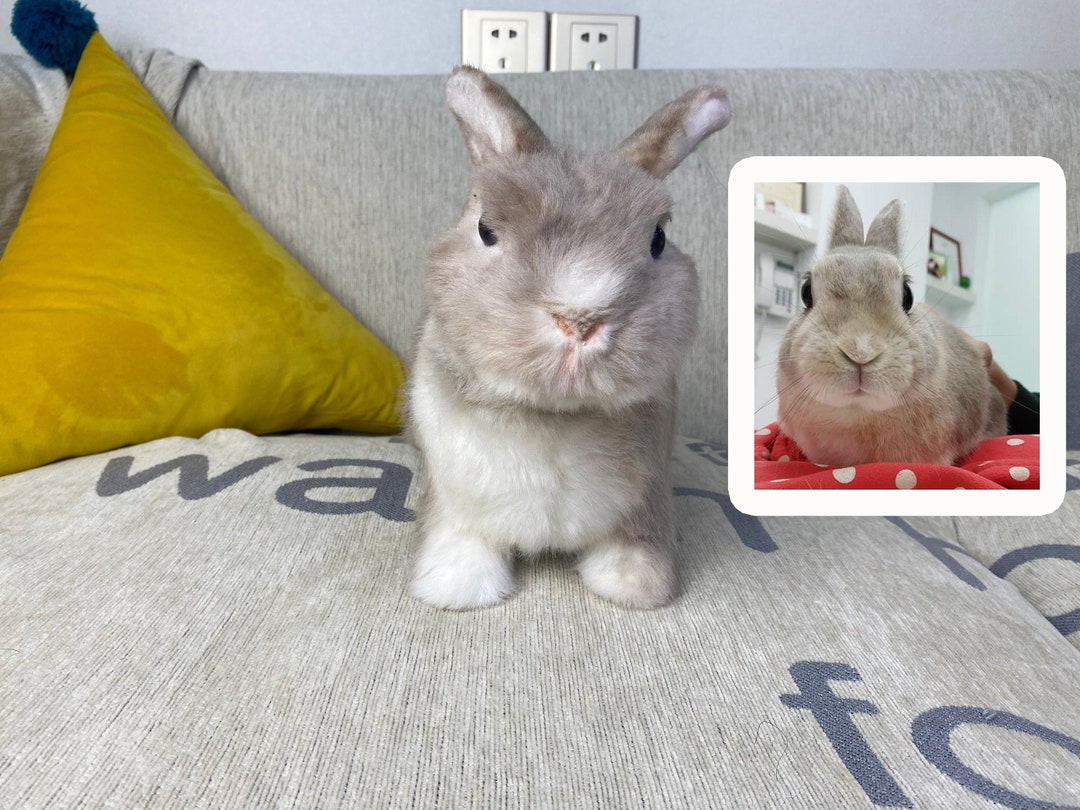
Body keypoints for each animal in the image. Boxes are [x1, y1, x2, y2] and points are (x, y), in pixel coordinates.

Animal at [406, 66, 732, 610]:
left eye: (658, 240)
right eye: (485, 229)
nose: (581, 319)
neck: (557, 416)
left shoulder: (642, 503)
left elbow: (633, 547)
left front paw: (637, 586)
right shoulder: (455, 504)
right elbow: (461, 544)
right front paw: (455, 590)